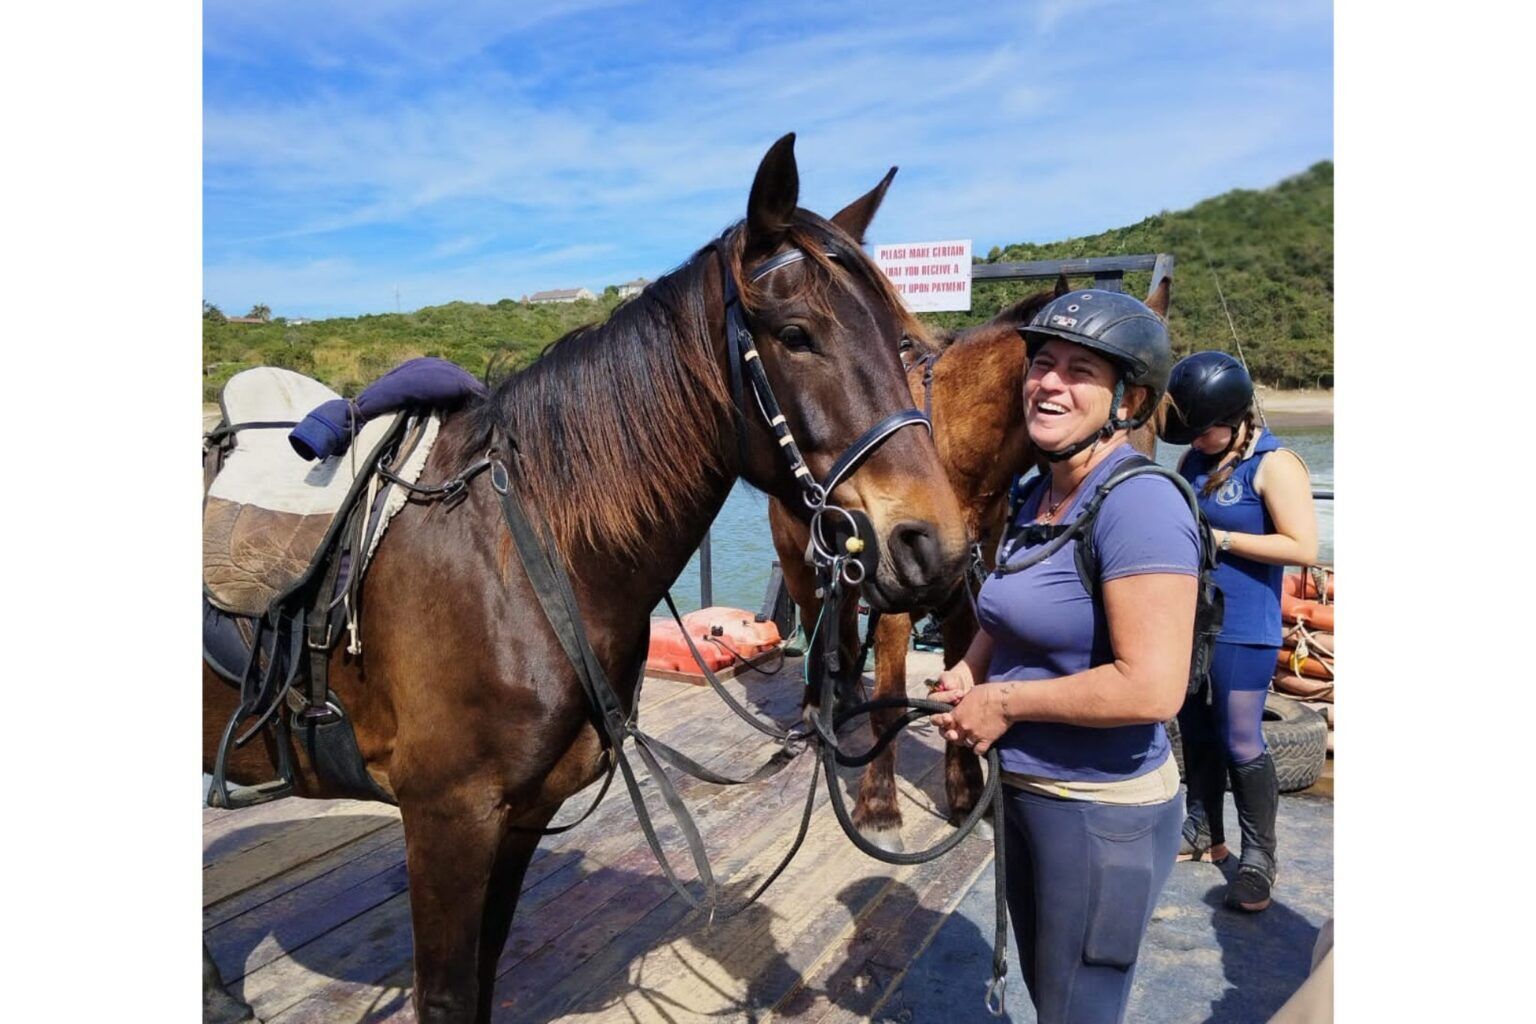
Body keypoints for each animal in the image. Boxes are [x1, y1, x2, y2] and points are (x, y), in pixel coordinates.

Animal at [202, 134, 972, 1023]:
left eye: (907, 344)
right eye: (795, 333)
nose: (934, 544)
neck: (522, 560)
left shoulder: (520, 817)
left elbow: (484, 979)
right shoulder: (446, 820)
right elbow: (448, 997)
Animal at [768, 275, 1169, 851]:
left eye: (1161, 410)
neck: (952, 455)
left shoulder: (964, 597)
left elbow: (960, 682)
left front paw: (965, 793)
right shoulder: (896, 601)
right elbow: (891, 698)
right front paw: (879, 807)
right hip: (801, 570)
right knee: (814, 620)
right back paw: (814, 703)